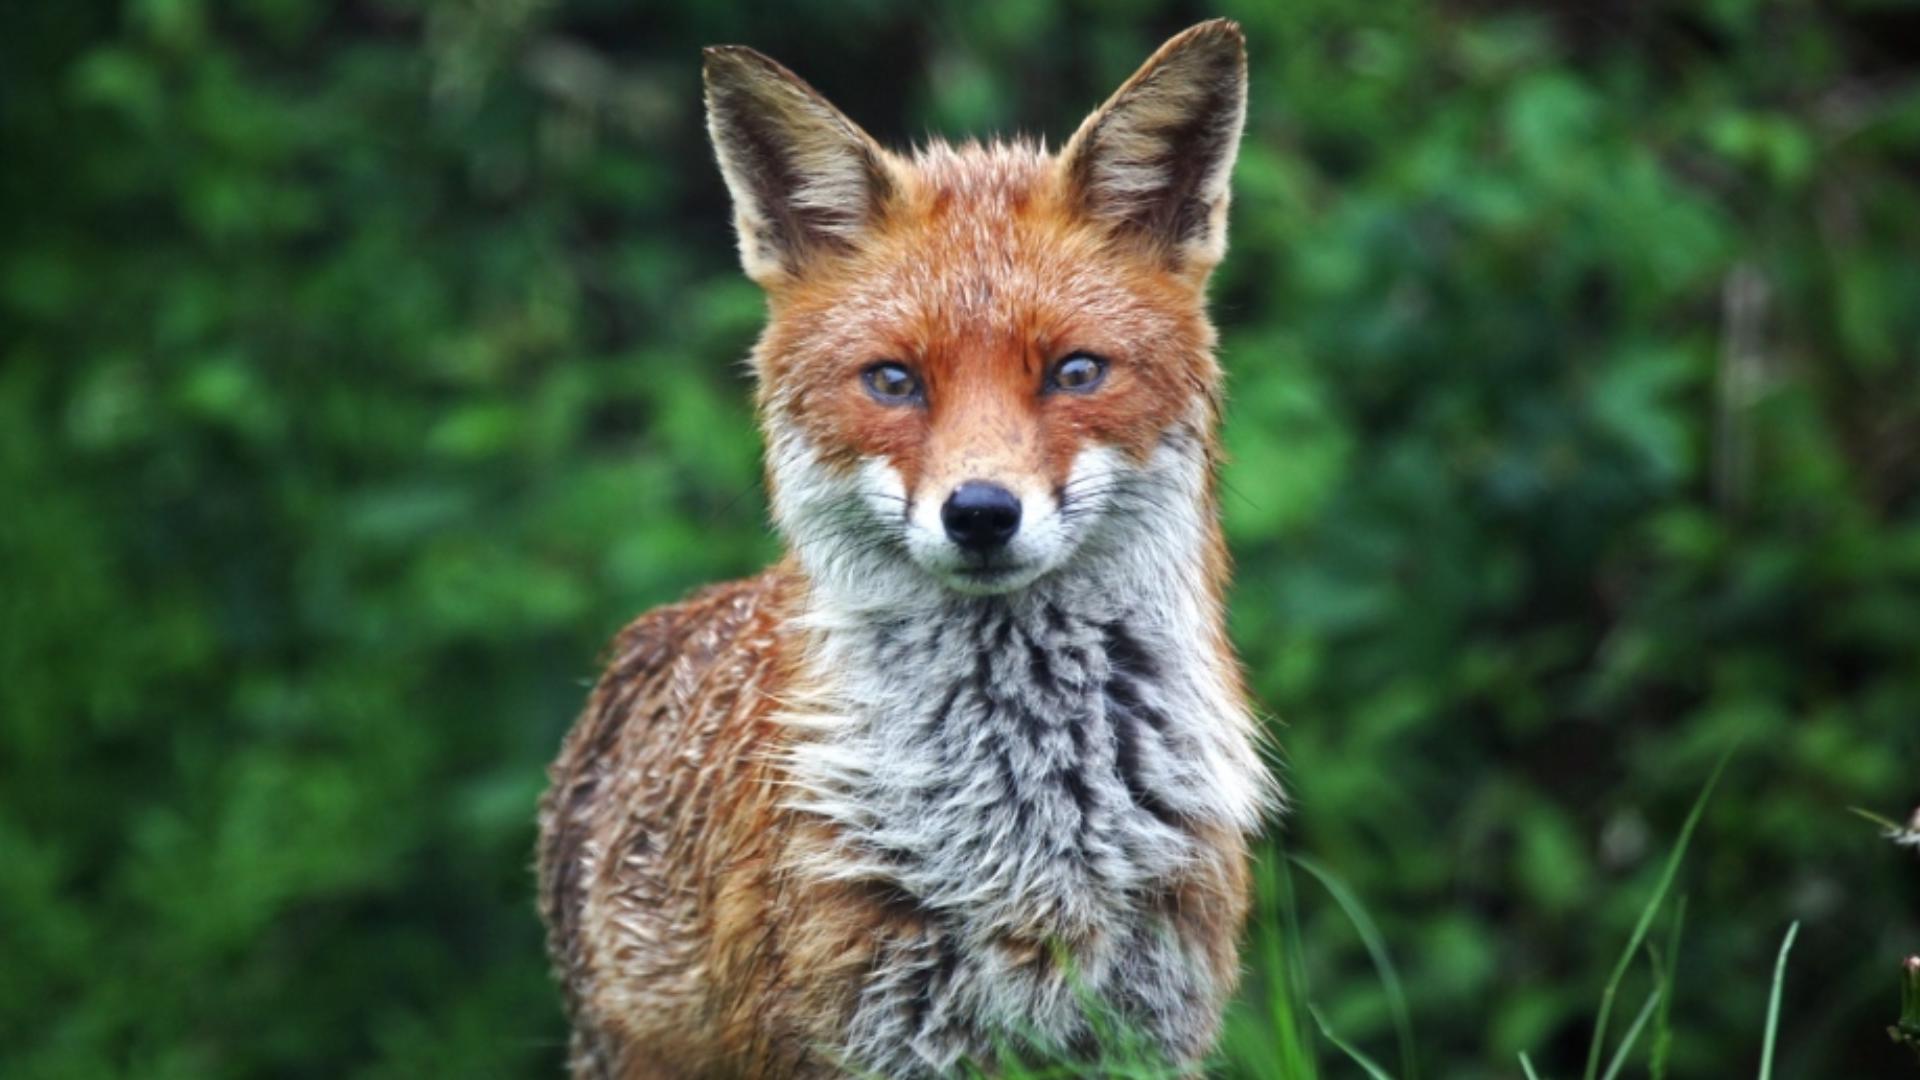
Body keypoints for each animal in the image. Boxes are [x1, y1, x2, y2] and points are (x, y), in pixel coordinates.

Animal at [537, 19, 1274, 1079]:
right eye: (893, 381)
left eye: (1074, 372)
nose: (981, 513)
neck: (1023, 835)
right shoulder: (852, 1034)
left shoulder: (1144, 1031)